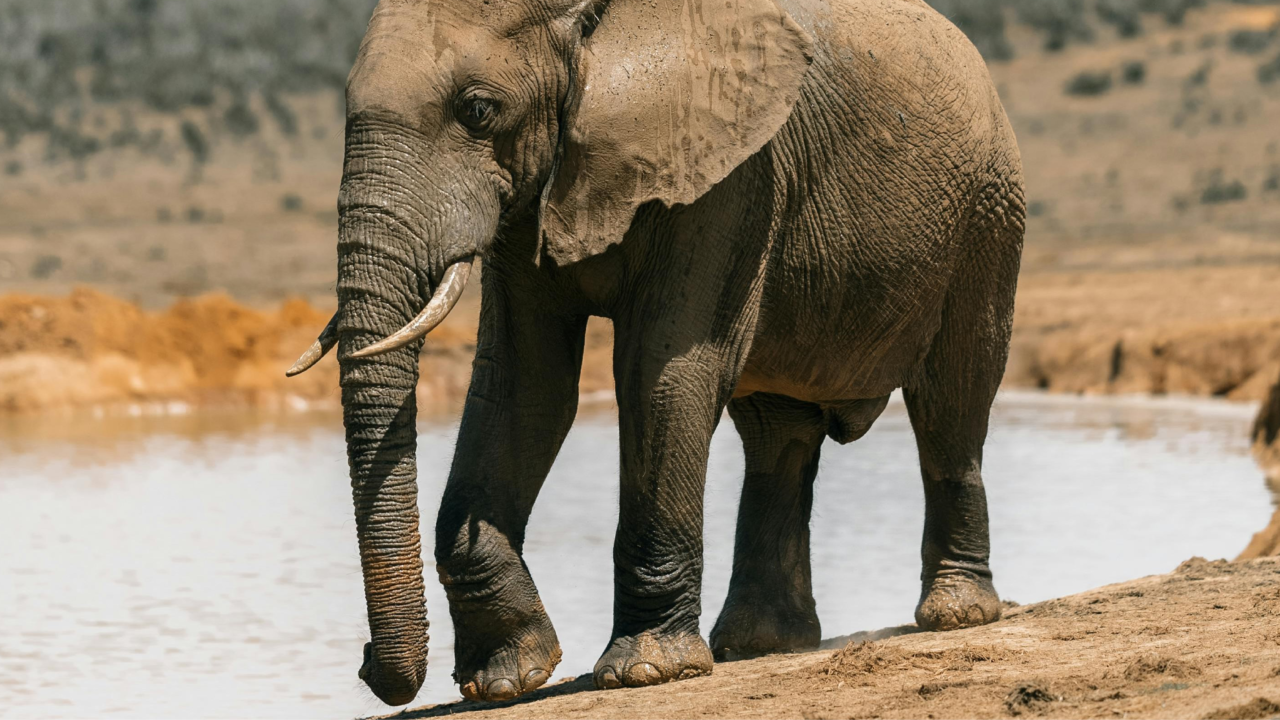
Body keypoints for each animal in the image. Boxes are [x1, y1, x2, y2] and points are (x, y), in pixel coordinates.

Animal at [287, 0, 1025, 706]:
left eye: (477, 109)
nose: (365, 664)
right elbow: (526, 384)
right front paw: (506, 681)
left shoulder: (729, 178)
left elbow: (660, 371)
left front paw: (645, 673)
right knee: (778, 435)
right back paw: (758, 645)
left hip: (989, 214)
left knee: (951, 403)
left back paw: (954, 614)